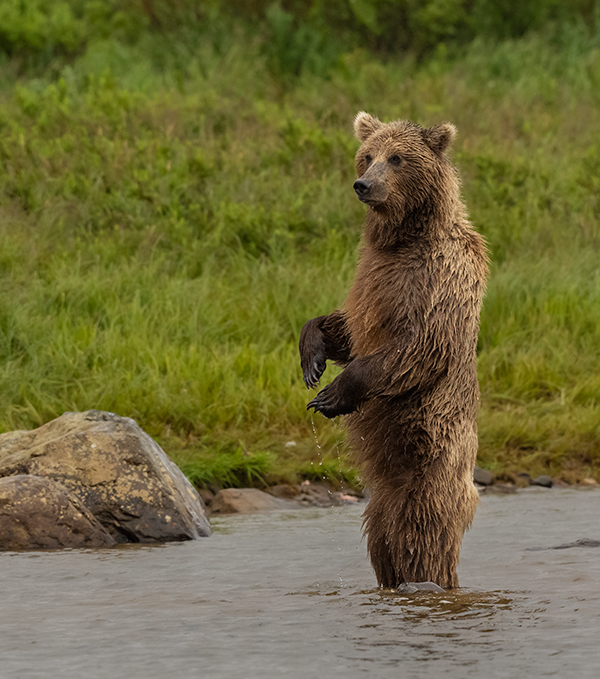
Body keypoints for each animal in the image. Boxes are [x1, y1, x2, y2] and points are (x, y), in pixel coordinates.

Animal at [299, 112, 488, 589]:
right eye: (368, 155)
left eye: (398, 158)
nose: (363, 185)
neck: (403, 237)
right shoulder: (371, 278)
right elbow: (346, 330)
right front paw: (313, 357)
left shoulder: (437, 278)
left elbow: (417, 346)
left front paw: (330, 395)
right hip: (385, 486)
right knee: (382, 533)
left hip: (430, 454)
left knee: (422, 528)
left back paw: (430, 579)